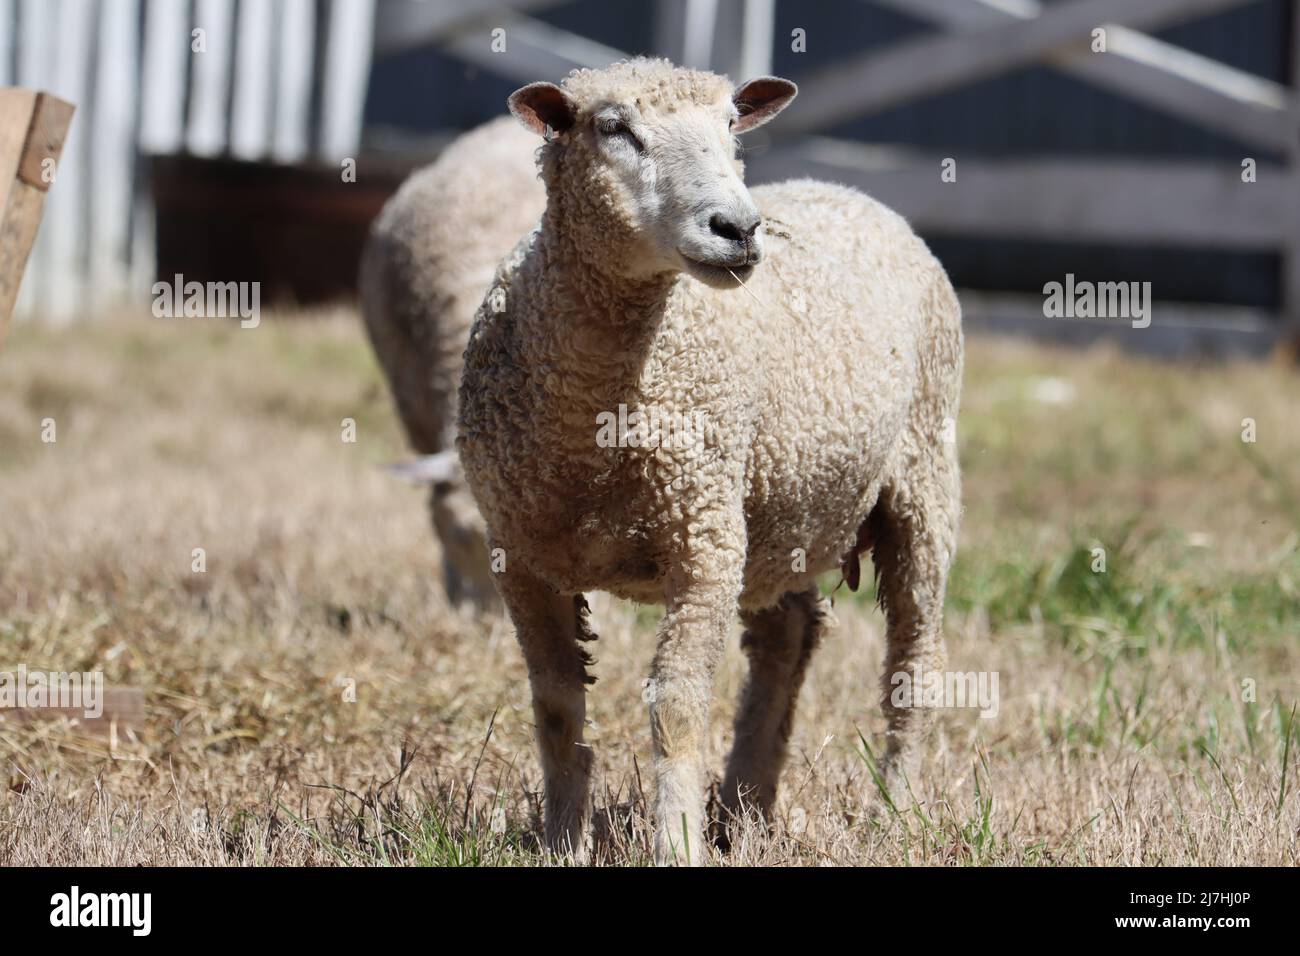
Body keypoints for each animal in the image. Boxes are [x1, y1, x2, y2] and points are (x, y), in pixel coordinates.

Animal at [457, 58, 963, 864]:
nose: (740, 228)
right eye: (613, 128)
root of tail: (847, 190)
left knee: (915, 659)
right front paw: (563, 840)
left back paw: (897, 813)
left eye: (731, 126)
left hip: (922, 482)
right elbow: (557, 704)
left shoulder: (704, 538)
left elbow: (678, 702)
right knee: (788, 639)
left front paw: (675, 843)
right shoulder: (520, 555)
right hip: (783, 506)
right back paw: (743, 807)